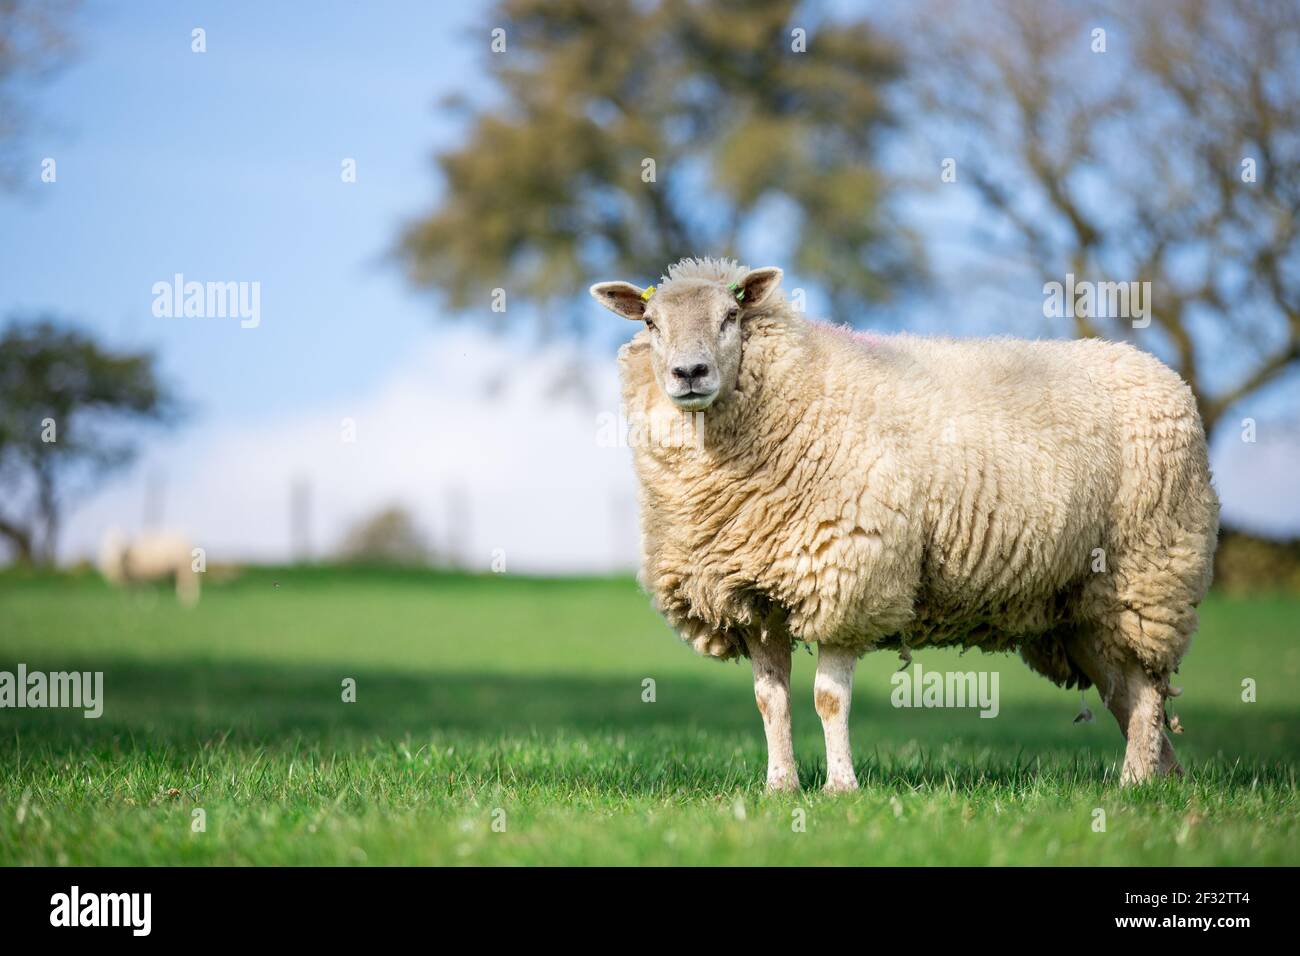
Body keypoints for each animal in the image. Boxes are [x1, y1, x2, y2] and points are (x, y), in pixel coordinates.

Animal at [591, 257, 1218, 791]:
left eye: (730, 316)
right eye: (650, 322)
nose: (689, 373)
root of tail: (1158, 370)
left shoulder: (849, 577)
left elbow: (828, 699)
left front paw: (840, 788)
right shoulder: (753, 596)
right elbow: (772, 701)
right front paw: (780, 786)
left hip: (1149, 573)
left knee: (1145, 690)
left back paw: (1134, 784)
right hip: (1083, 603)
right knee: (1127, 692)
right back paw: (1164, 779)